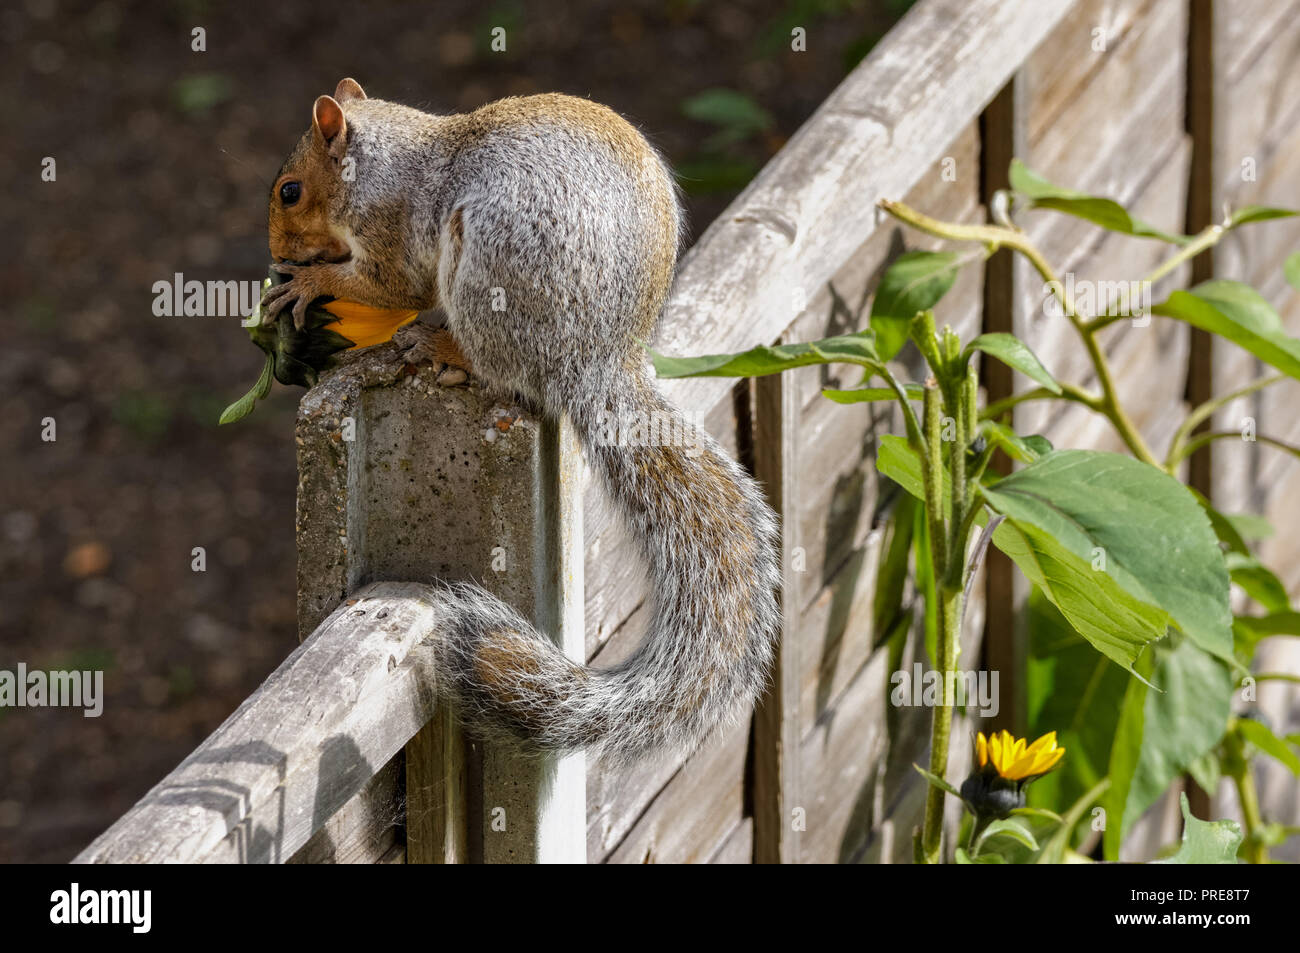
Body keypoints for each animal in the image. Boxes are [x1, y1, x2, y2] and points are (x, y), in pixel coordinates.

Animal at [261, 79, 780, 763]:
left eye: (290, 191)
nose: (276, 254)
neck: (381, 162)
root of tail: (598, 359)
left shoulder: (393, 227)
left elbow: (395, 287)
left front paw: (309, 281)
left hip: (489, 277)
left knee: (496, 365)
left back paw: (442, 349)